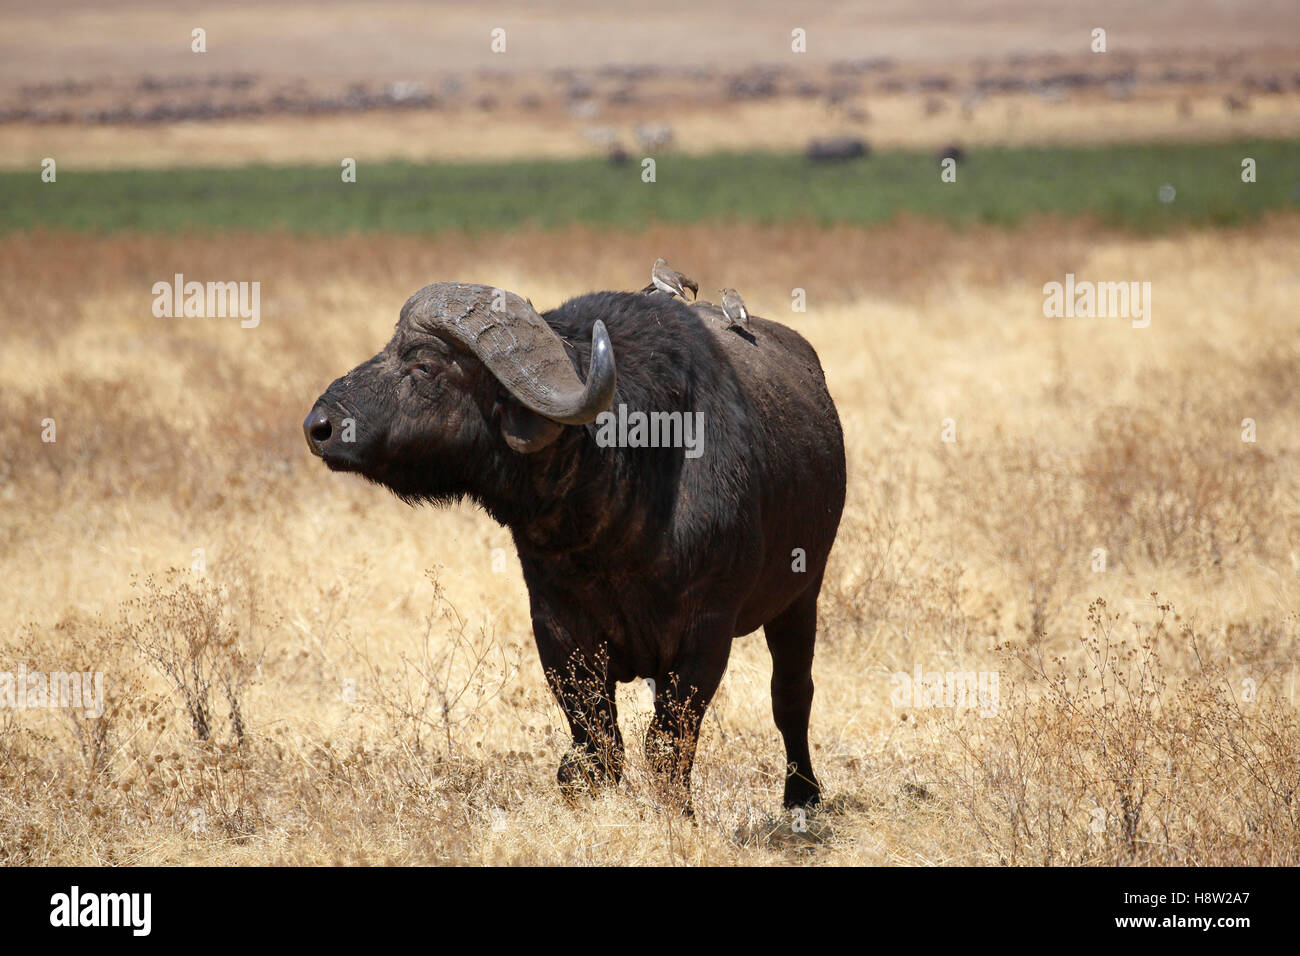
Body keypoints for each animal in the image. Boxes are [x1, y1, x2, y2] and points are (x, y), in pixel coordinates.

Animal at [304, 281, 846, 810]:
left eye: (424, 365)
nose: (319, 427)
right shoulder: (556, 626)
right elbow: (595, 743)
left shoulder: (707, 629)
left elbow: (668, 741)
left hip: (802, 597)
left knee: (791, 696)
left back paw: (803, 794)